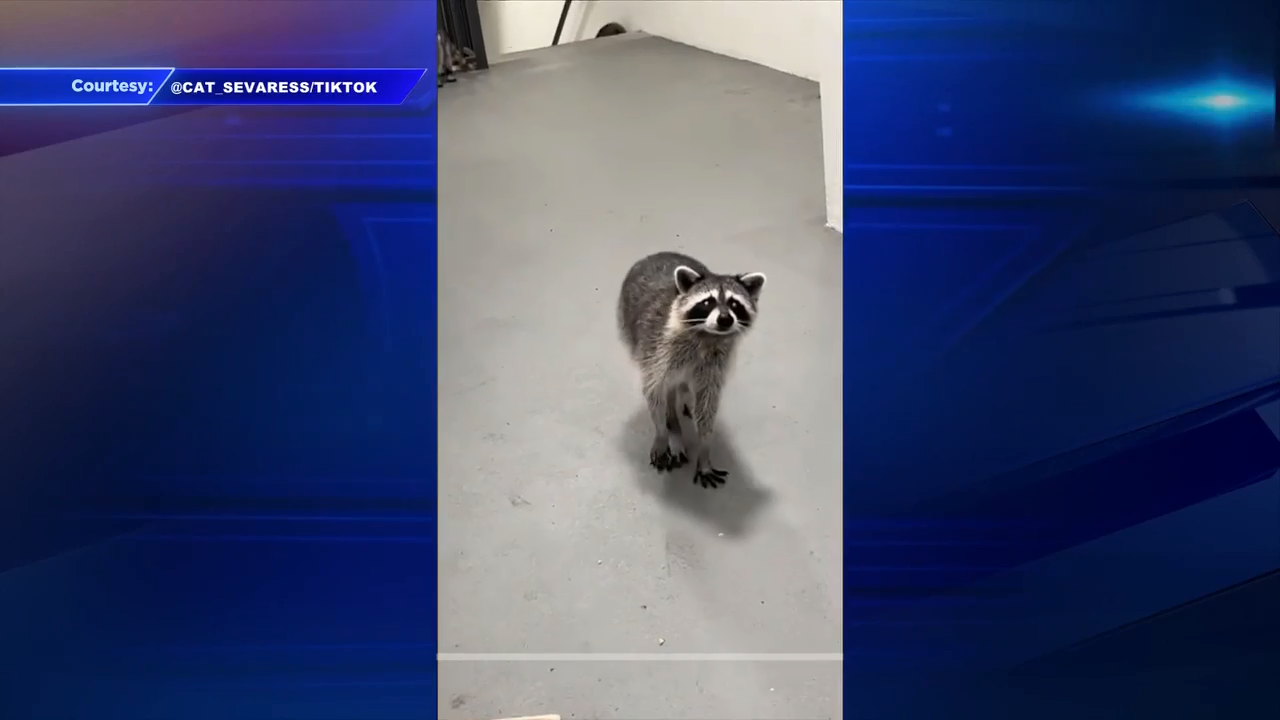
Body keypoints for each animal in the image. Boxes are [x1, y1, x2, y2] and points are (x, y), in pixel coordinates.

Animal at [617, 252, 766, 489]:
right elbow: (655, 393)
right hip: (630, 329)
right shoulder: (658, 349)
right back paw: (673, 426)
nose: (725, 319)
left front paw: (704, 452)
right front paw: (662, 434)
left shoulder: (715, 365)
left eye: (735, 304)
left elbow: (707, 405)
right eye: (707, 302)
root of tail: (658, 253)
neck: (707, 336)